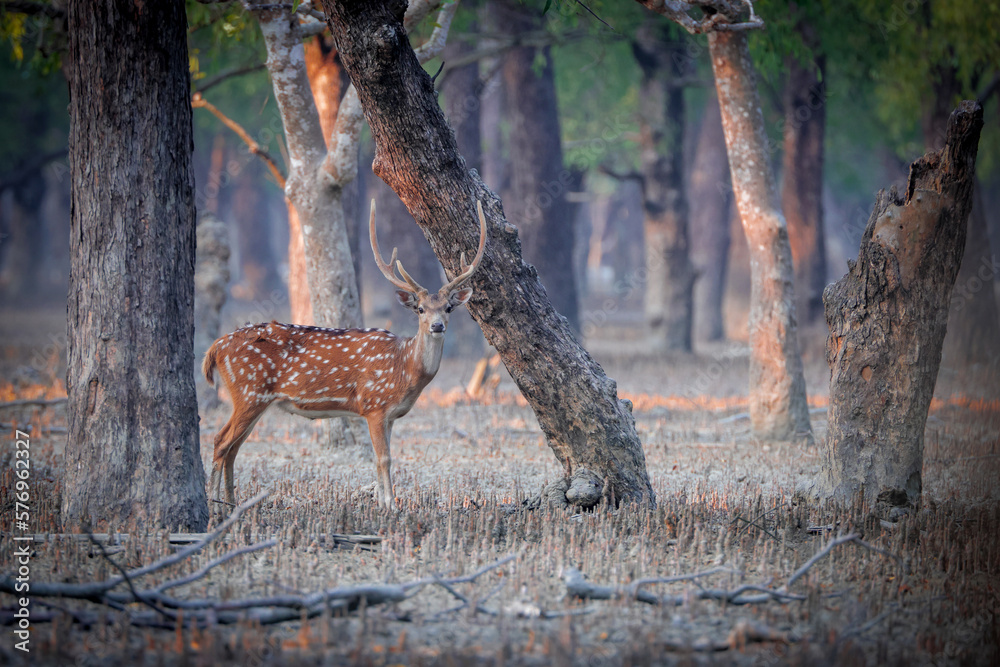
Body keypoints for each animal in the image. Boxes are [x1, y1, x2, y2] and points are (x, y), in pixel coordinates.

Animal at [202, 200, 487, 512]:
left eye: (448, 308)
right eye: (420, 309)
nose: (437, 326)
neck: (404, 369)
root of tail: (215, 348)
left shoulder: (390, 415)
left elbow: (382, 458)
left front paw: (385, 502)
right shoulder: (374, 405)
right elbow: (384, 458)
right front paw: (390, 506)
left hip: (255, 399)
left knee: (234, 447)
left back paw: (232, 504)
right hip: (249, 390)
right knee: (220, 440)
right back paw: (214, 505)